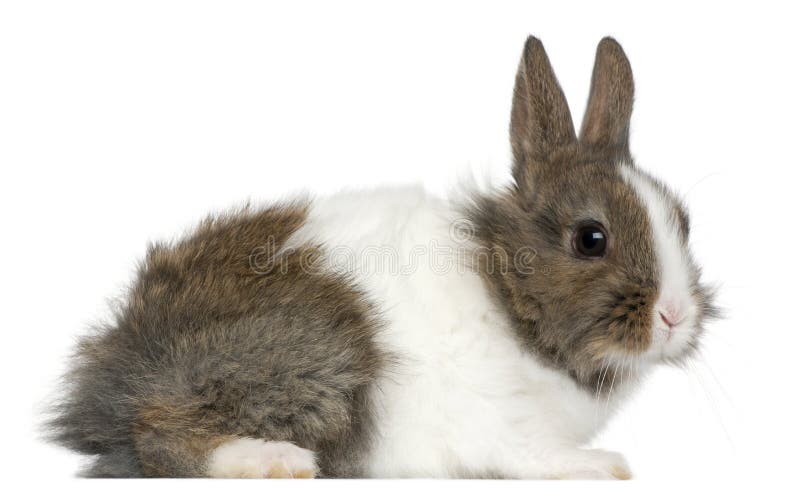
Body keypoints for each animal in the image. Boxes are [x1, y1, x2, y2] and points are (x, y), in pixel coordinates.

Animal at [48, 36, 718, 479]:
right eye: (590, 238)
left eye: (682, 221)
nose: (675, 316)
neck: (504, 290)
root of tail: (120, 362)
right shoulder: (499, 422)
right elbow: (532, 455)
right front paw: (602, 465)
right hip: (321, 352)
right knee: (160, 436)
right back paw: (273, 459)